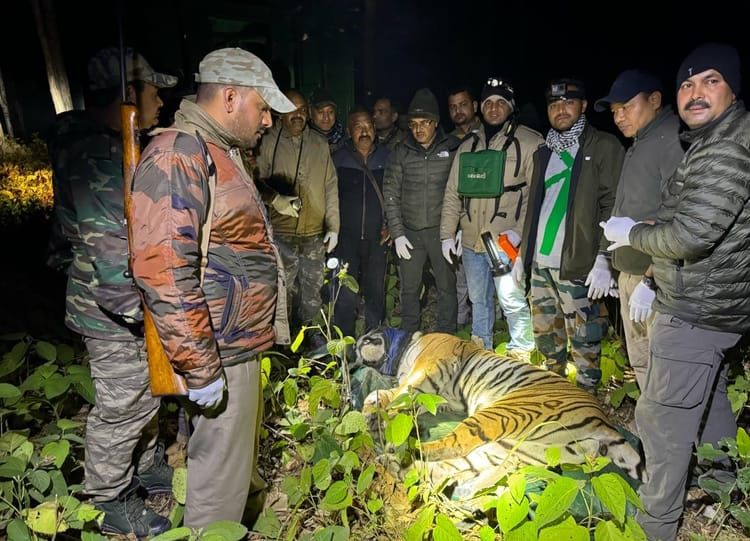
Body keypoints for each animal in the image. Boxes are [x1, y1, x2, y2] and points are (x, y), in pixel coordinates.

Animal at [356, 328, 644, 498]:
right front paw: (371, 410)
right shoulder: (446, 400)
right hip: (522, 448)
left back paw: (399, 451)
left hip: (500, 414)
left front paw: (375, 419)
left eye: (366, 337)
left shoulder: (427, 369)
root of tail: (603, 420)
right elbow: (389, 396)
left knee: (455, 445)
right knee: (466, 468)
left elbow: (399, 395)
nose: (354, 347)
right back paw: (399, 467)